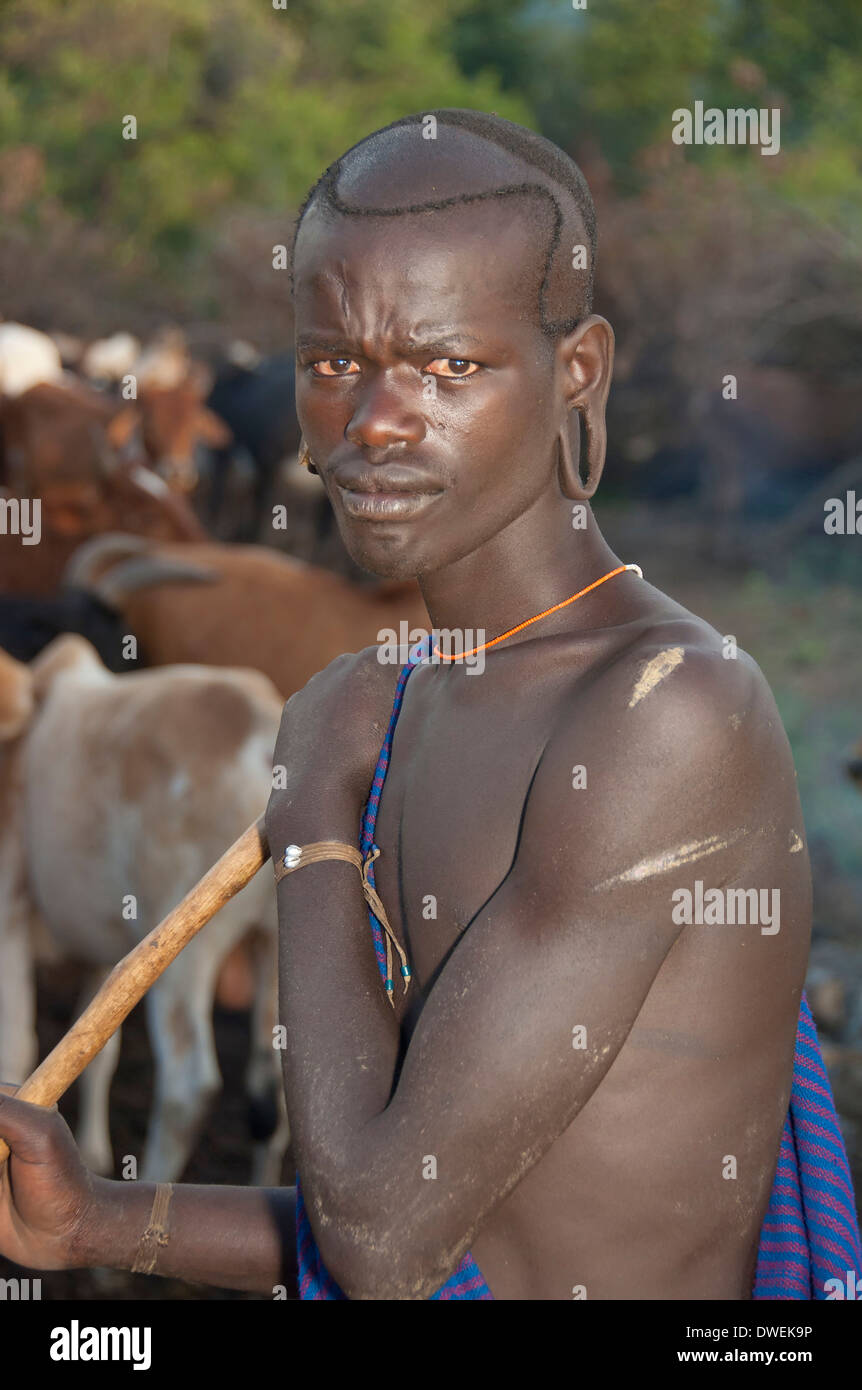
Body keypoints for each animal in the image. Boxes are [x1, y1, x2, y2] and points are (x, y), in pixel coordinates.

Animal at [0, 634, 289, 1185]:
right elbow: (95, 1045)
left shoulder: (10, 913)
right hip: (274, 945)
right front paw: (92, 1152)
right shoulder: (101, 944)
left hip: (186, 946)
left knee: (188, 1087)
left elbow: (18, 1049)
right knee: (274, 1092)